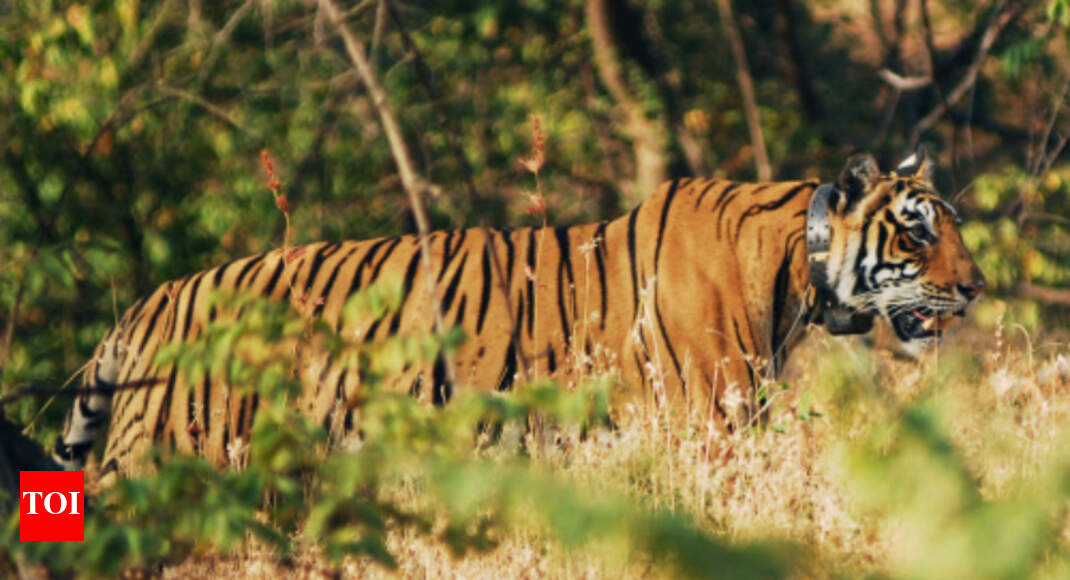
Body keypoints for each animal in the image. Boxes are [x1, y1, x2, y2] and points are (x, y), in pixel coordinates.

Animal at [53, 147, 985, 479]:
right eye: (918, 230)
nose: (977, 287)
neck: (799, 270)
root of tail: (150, 301)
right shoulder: (708, 423)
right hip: (167, 457)